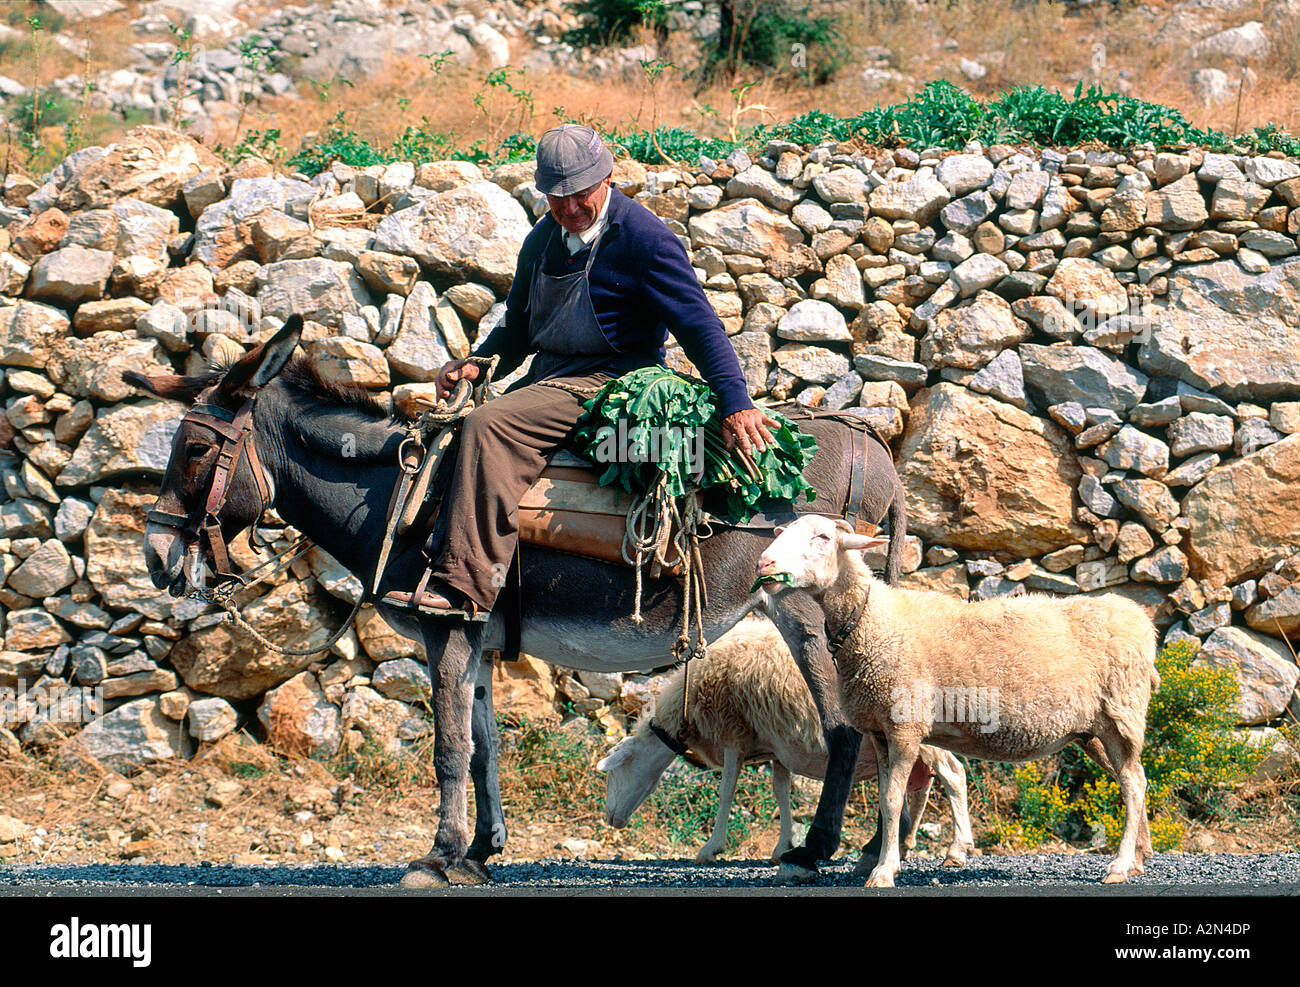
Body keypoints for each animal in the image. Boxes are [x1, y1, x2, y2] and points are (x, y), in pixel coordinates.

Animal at [598, 619, 974, 869]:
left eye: (614, 771)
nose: (610, 819)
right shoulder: (775, 747)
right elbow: (781, 791)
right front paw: (782, 846)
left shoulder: (733, 734)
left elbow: (726, 790)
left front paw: (711, 848)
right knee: (920, 784)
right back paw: (904, 844)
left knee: (953, 775)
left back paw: (956, 849)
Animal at [756, 515, 1160, 887]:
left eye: (823, 537)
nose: (764, 563)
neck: (871, 619)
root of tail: (1140, 617)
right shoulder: (880, 730)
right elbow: (887, 800)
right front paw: (886, 861)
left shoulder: (905, 724)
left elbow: (893, 800)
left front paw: (884, 871)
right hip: (1093, 730)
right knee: (1134, 779)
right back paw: (1139, 857)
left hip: (1121, 713)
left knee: (1132, 785)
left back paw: (1120, 865)